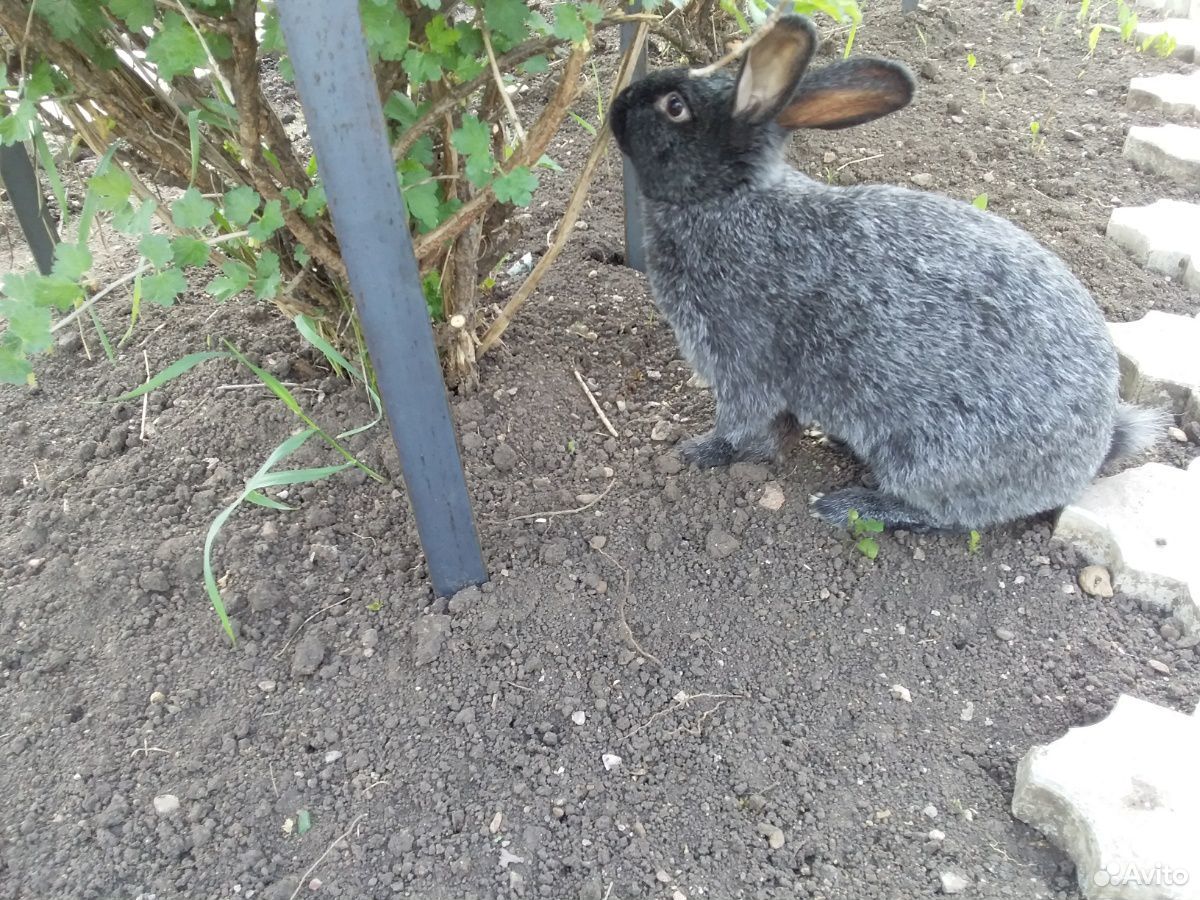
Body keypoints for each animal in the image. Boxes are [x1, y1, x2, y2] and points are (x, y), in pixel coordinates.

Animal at [608, 14, 1164, 533]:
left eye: (674, 107)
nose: (617, 105)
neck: (724, 198)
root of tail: (1091, 455)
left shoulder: (738, 357)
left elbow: (743, 425)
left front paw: (700, 451)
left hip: (931, 452)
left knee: (943, 513)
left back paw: (847, 505)